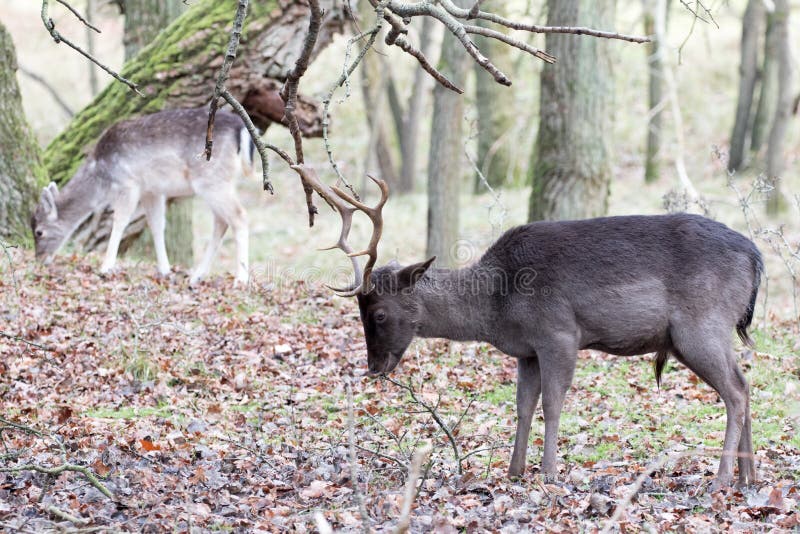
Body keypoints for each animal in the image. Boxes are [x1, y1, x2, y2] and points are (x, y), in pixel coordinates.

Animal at [31, 107, 254, 284]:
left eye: (39, 232)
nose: (39, 259)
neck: (102, 177)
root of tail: (240, 128)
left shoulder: (129, 184)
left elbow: (119, 222)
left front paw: (105, 267)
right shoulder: (151, 190)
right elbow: (156, 225)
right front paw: (165, 270)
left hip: (211, 179)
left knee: (240, 217)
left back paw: (241, 278)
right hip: (218, 181)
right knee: (221, 222)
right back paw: (196, 276)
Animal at [290, 164, 764, 489]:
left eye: (379, 315)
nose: (373, 368)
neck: (498, 306)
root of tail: (756, 259)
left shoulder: (559, 334)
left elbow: (552, 403)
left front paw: (549, 472)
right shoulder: (526, 351)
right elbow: (522, 406)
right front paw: (514, 471)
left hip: (700, 325)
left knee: (735, 391)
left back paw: (722, 478)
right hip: (708, 333)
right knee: (745, 382)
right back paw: (749, 475)